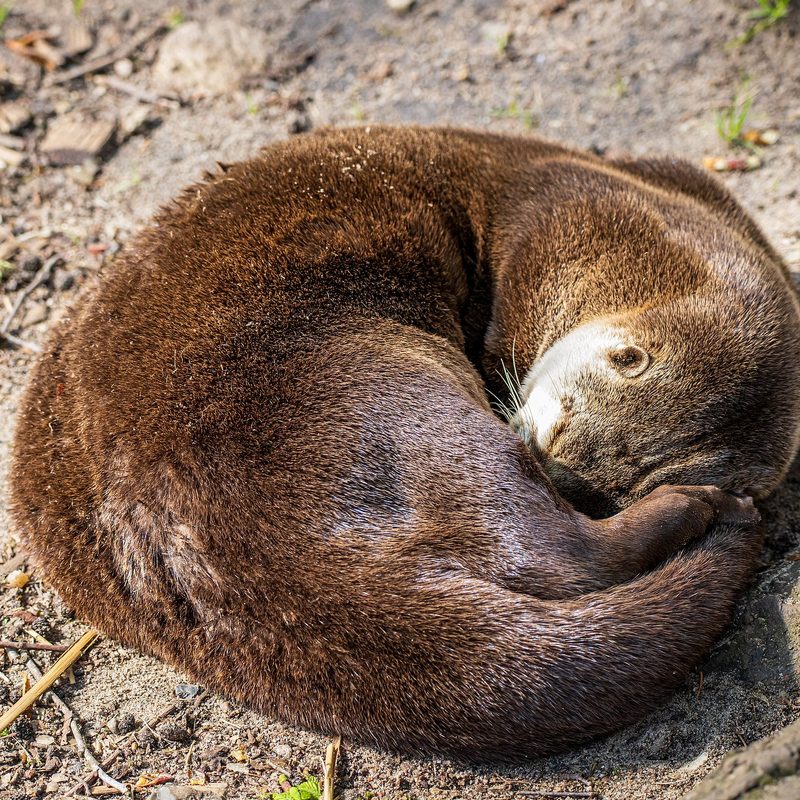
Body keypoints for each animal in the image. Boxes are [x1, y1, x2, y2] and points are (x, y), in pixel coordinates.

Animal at [10, 126, 799, 759]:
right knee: (556, 553)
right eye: (562, 423)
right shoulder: (564, 222)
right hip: (383, 393)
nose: (554, 470)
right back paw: (711, 509)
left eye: (605, 489)